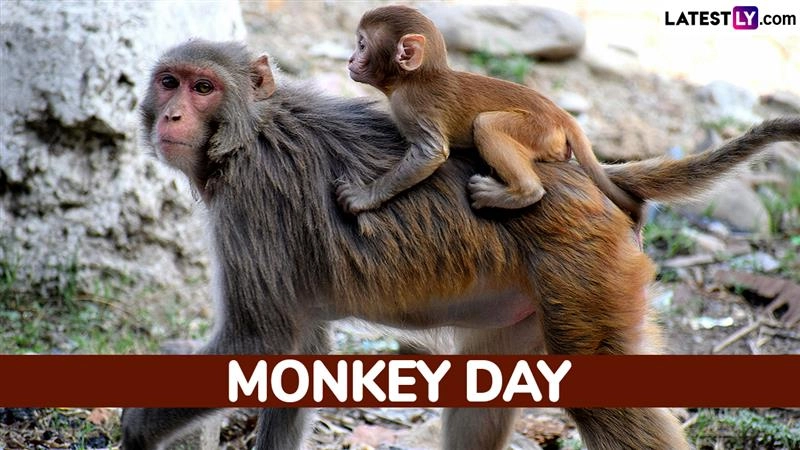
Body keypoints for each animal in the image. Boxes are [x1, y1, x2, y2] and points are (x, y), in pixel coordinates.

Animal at [122, 39, 800, 450]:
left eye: (203, 88)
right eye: (170, 82)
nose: (172, 117)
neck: (247, 135)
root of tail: (586, 173)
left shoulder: (250, 205)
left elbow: (259, 339)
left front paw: (136, 428)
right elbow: (297, 353)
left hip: (587, 270)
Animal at [336, 5, 643, 228]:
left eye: (361, 45)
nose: (350, 60)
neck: (414, 78)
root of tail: (560, 116)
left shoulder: (411, 104)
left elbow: (431, 153)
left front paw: (364, 197)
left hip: (538, 130)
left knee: (487, 124)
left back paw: (520, 193)